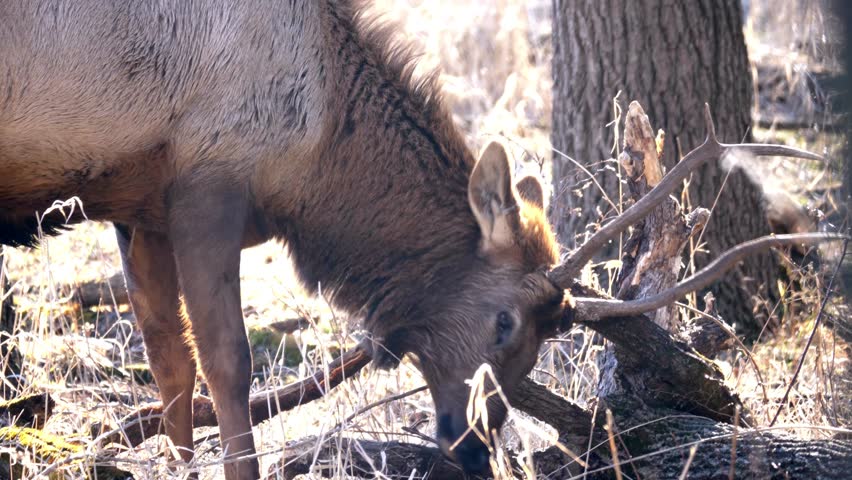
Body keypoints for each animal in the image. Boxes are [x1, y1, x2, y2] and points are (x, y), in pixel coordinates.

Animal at [0, 1, 841, 479]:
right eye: (504, 321)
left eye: (545, 340)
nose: (474, 448)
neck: (314, 153)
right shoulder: (206, 183)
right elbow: (227, 368)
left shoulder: (135, 201)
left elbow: (169, 369)